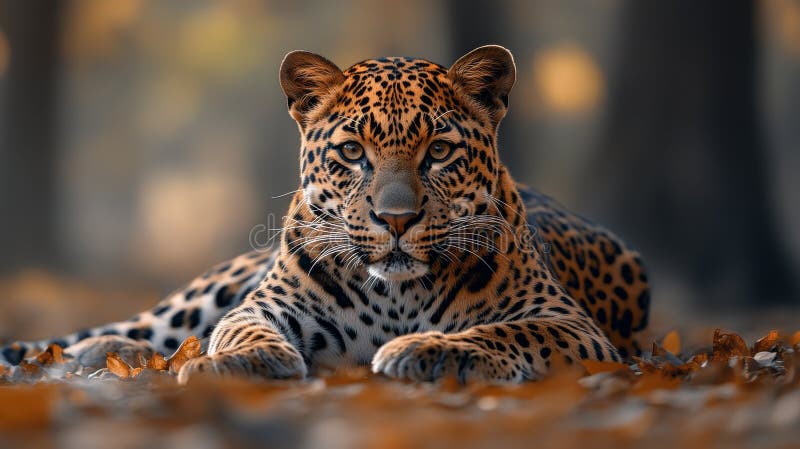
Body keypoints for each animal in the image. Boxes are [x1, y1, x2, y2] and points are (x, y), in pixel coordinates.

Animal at [0, 46, 650, 384]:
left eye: (439, 151)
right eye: (353, 152)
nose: (396, 219)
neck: (397, 296)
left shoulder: (572, 327)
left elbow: (505, 333)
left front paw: (430, 350)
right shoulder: (266, 303)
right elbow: (243, 328)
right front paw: (237, 363)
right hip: (219, 284)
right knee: (159, 326)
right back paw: (101, 352)